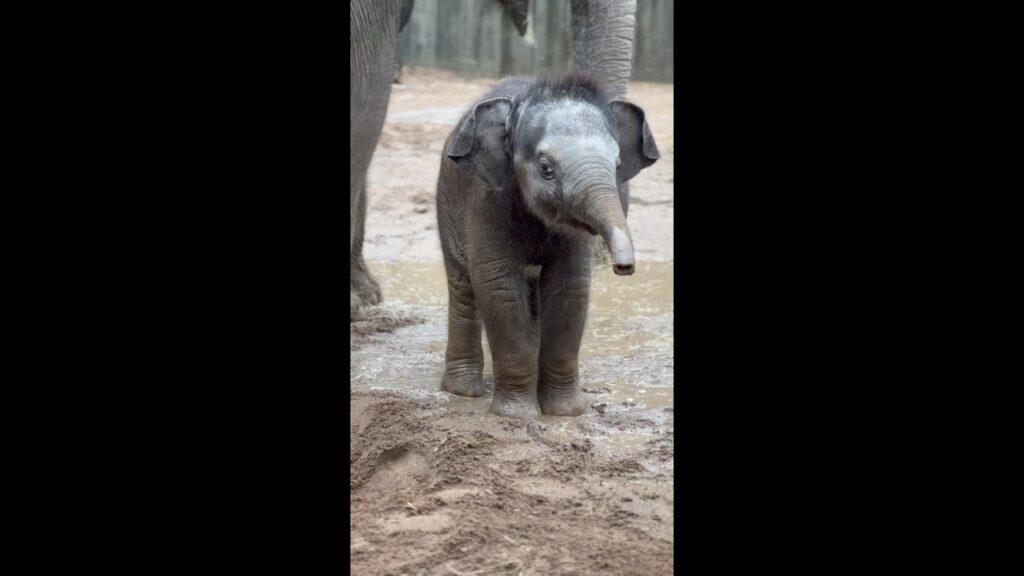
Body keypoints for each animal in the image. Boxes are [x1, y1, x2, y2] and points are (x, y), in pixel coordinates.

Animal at [435, 75, 660, 418]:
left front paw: (565, 412)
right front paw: (516, 415)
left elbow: (570, 287)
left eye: (619, 165)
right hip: (446, 204)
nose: (625, 268)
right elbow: (498, 286)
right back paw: (463, 391)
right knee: (462, 286)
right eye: (545, 168)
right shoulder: (485, 199)